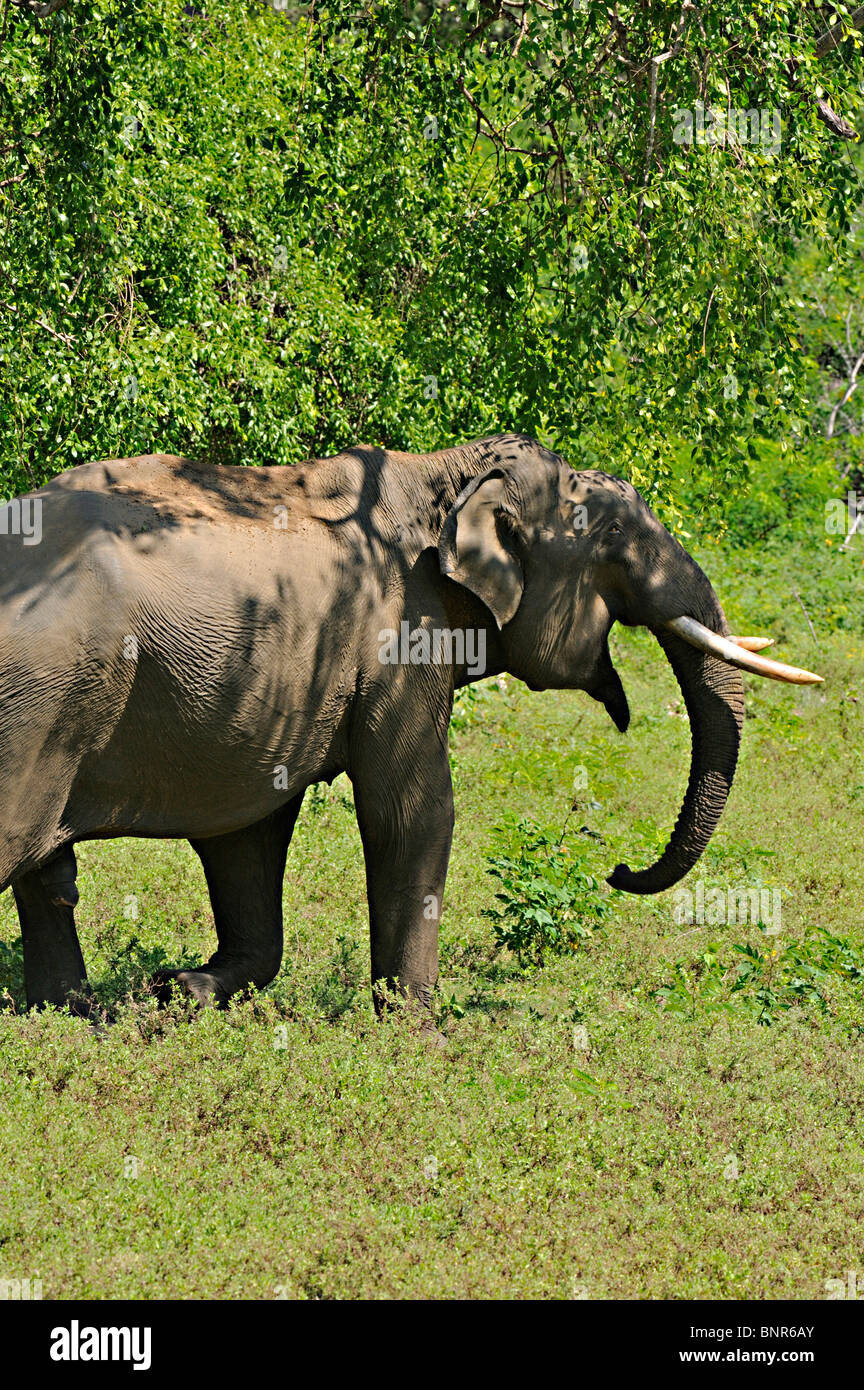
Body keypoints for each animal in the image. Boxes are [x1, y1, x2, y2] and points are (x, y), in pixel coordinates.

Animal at [0, 433, 821, 1025]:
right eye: (613, 534)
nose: (618, 871)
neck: (450, 475)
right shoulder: (402, 634)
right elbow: (412, 809)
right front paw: (417, 1028)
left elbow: (250, 829)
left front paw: (175, 992)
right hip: (38, 698)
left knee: (48, 872)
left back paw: (66, 1014)